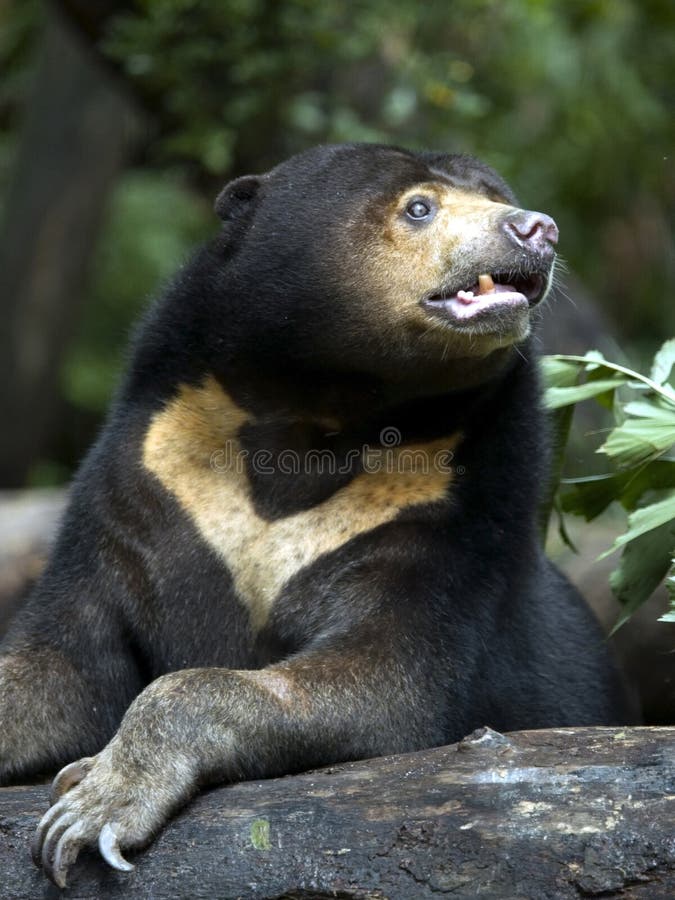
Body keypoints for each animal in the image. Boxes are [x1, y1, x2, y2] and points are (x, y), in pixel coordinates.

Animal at [0, 143, 631, 887]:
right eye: (419, 207)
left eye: (498, 196)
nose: (538, 228)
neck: (317, 416)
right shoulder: (144, 486)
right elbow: (64, 660)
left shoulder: (449, 520)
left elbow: (387, 686)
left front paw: (92, 804)